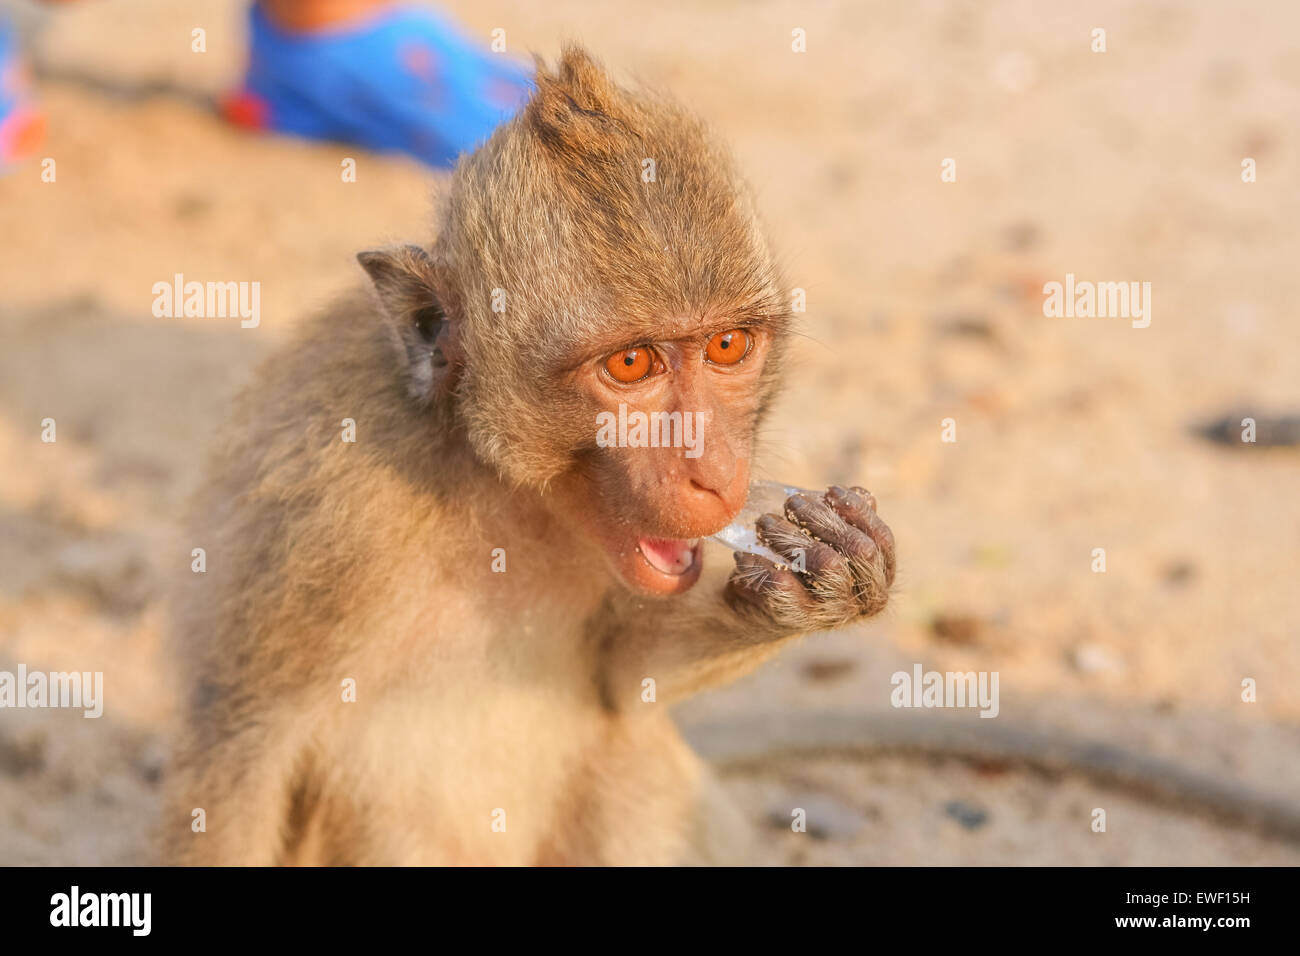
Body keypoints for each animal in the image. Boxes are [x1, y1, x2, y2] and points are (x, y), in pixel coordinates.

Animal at [160, 44, 896, 866]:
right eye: (632, 364)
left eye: (729, 346)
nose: (716, 474)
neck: (494, 479)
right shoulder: (331, 516)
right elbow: (247, 739)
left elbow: (620, 686)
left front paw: (825, 573)